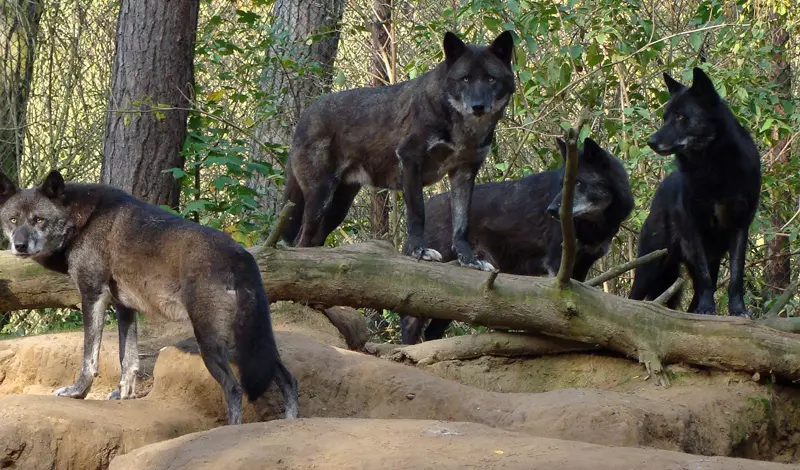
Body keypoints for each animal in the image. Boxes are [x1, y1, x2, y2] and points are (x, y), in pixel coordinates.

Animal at [0, 171, 300, 424]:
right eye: (13, 219)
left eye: (39, 219)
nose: (19, 245)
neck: (83, 220)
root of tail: (241, 256)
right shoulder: (124, 307)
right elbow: (128, 359)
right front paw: (124, 395)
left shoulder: (92, 295)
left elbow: (89, 358)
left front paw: (78, 392)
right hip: (250, 342)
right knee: (288, 379)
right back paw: (291, 422)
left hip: (212, 342)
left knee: (235, 389)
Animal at [282, 30, 516, 272]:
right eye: (466, 79)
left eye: (491, 79)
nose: (478, 106)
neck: (463, 130)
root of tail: (304, 117)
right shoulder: (410, 160)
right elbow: (417, 215)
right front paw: (418, 251)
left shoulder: (464, 173)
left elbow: (462, 225)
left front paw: (469, 261)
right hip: (320, 197)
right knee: (300, 242)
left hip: (337, 208)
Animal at [404, 138, 636, 344]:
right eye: (563, 184)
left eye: (577, 183)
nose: (551, 211)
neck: (595, 225)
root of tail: (428, 204)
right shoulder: (557, 267)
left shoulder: (582, 268)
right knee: (409, 325)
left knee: (431, 332)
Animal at [632, 68, 764, 318]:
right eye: (665, 117)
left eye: (681, 117)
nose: (650, 142)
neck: (712, 169)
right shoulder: (694, 228)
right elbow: (704, 279)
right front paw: (706, 308)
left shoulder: (740, 226)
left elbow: (736, 275)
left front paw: (738, 310)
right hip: (651, 265)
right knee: (632, 296)